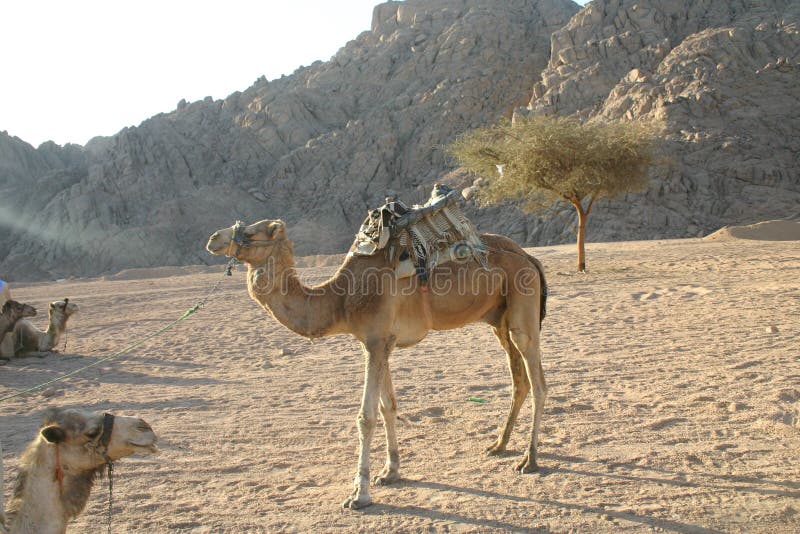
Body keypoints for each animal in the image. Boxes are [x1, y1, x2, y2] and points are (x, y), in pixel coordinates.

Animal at [206, 218, 548, 509]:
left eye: (253, 232)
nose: (213, 239)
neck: (340, 300)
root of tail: (530, 258)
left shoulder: (374, 340)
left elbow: (366, 416)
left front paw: (360, 494)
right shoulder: (380, 342)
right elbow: (388, 407)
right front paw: (391, 472)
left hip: (523, 309)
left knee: (538, 382)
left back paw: (529, 460)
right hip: (499, 319)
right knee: (520, 380)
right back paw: (499, 445)